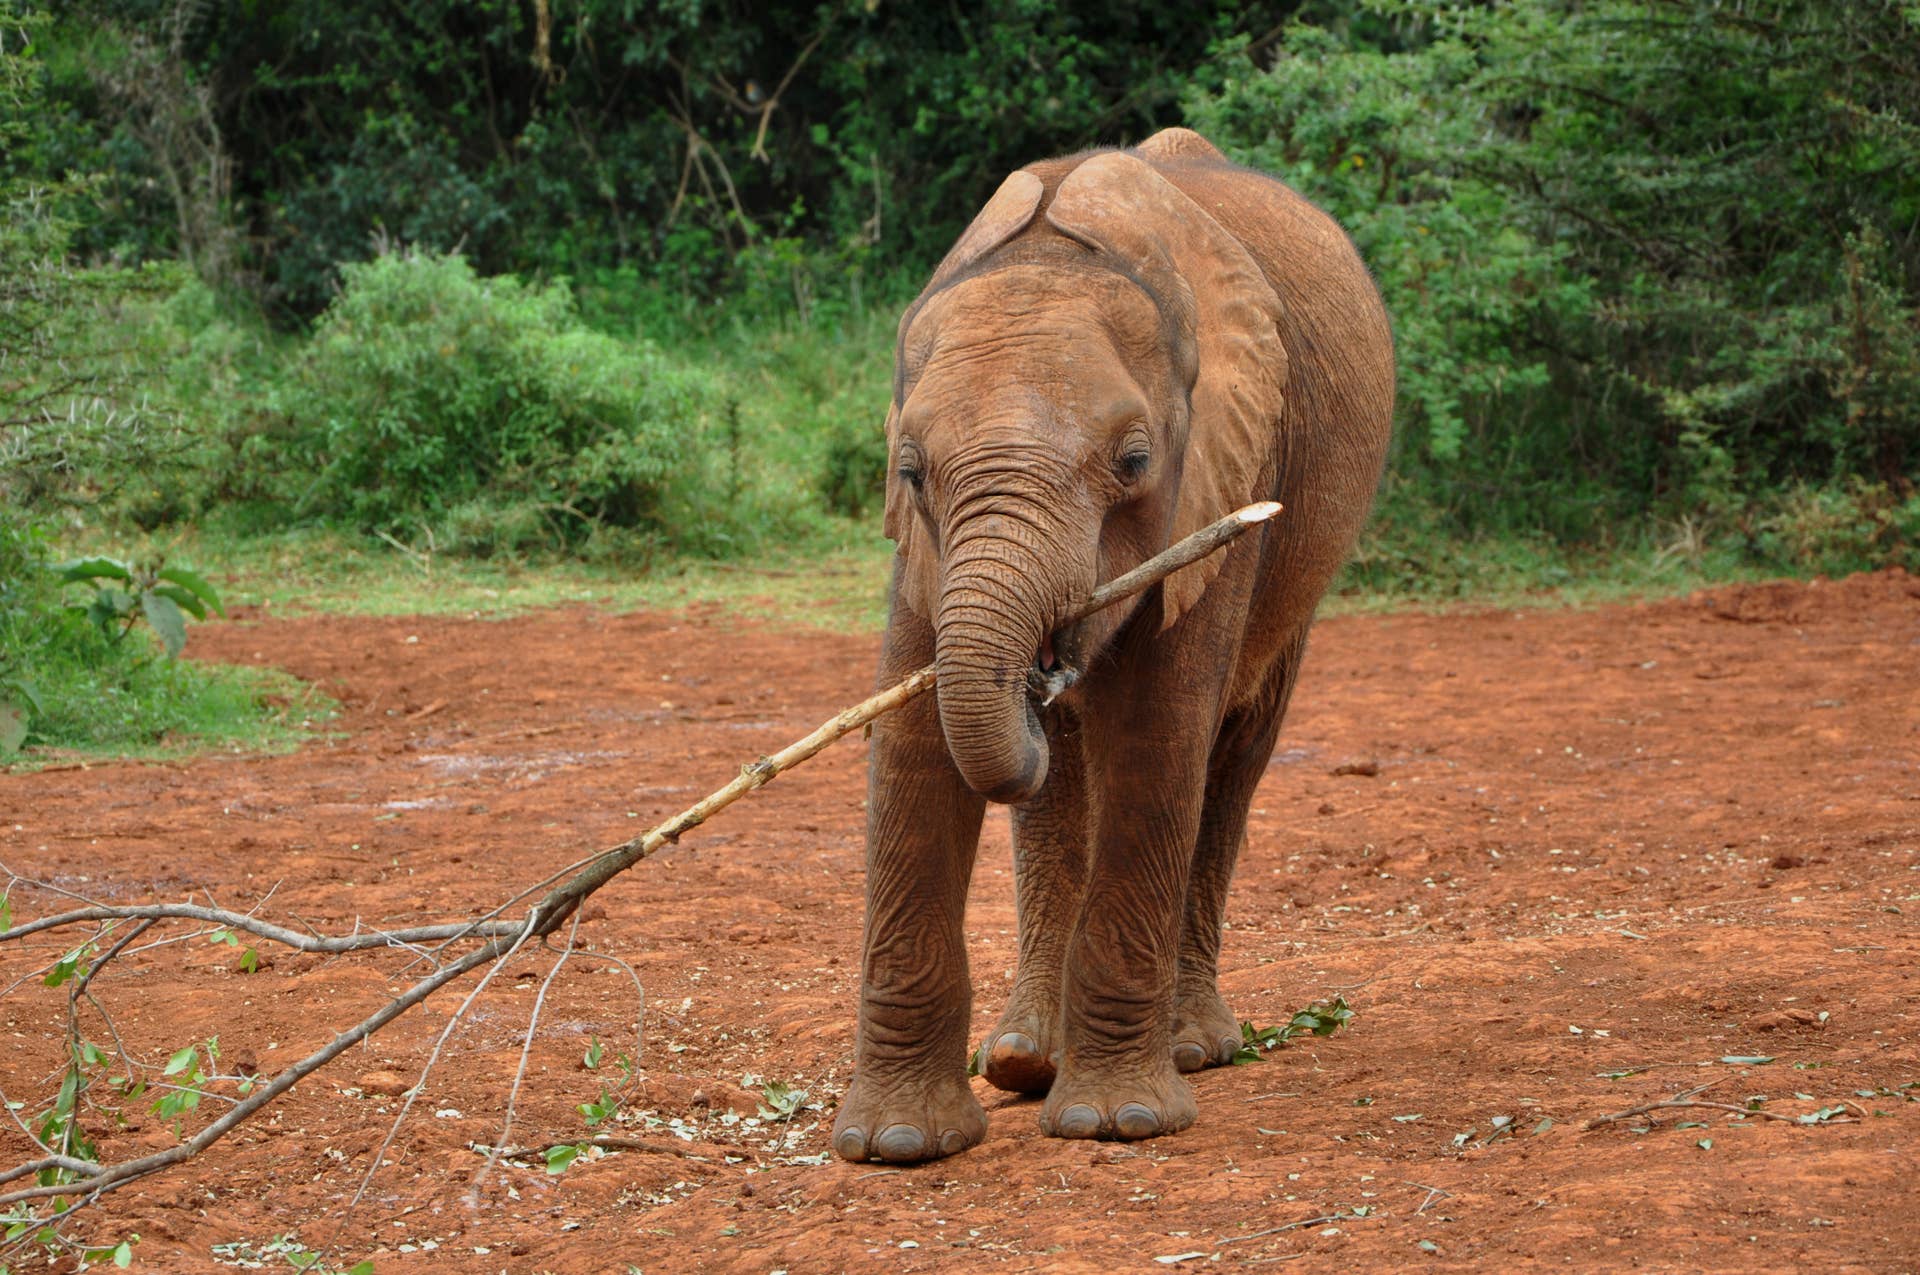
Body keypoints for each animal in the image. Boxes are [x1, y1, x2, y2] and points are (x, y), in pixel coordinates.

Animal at [831, 128, 1394, 1164]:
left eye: (1133, 463)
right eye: (911, 470)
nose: (1047, 662)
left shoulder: (1225, 480)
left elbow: (1159, 732)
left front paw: (1115, 1123)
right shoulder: (921, 553)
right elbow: (914, 746)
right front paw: (895, 1145)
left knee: (1231, 755)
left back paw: (1191, 1048)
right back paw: (1023, 1062)